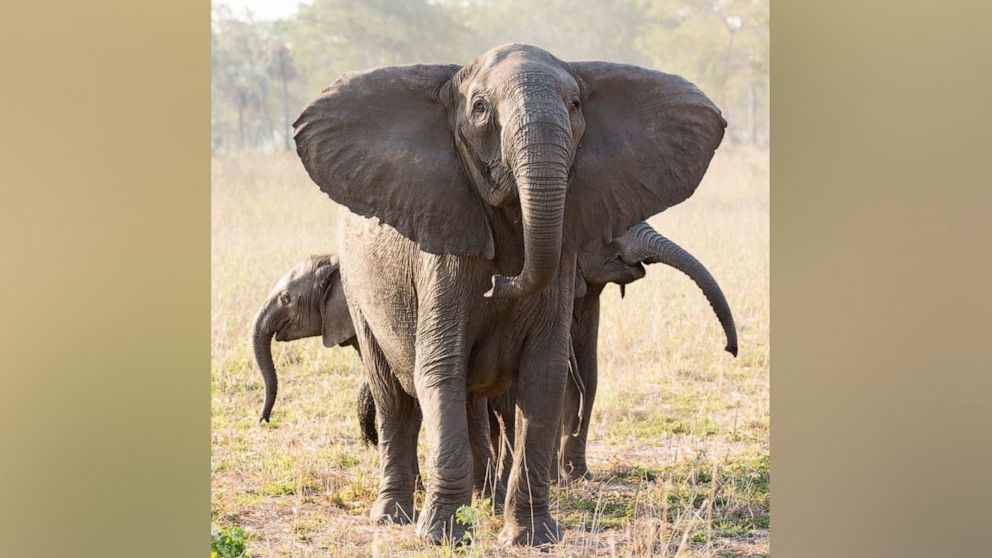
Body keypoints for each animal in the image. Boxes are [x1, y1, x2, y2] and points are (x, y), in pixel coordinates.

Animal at [292, 43, 725, 545]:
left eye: (575, 106)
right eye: (480, 109)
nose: (500, 282)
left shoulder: (563, 262)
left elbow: (545, 376)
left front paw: (532, 538)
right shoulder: (442, 255)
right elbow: (440, 368)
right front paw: (442, 537)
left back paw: (482, 501)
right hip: (358, 293)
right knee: (394, 401)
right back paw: (393, 517)